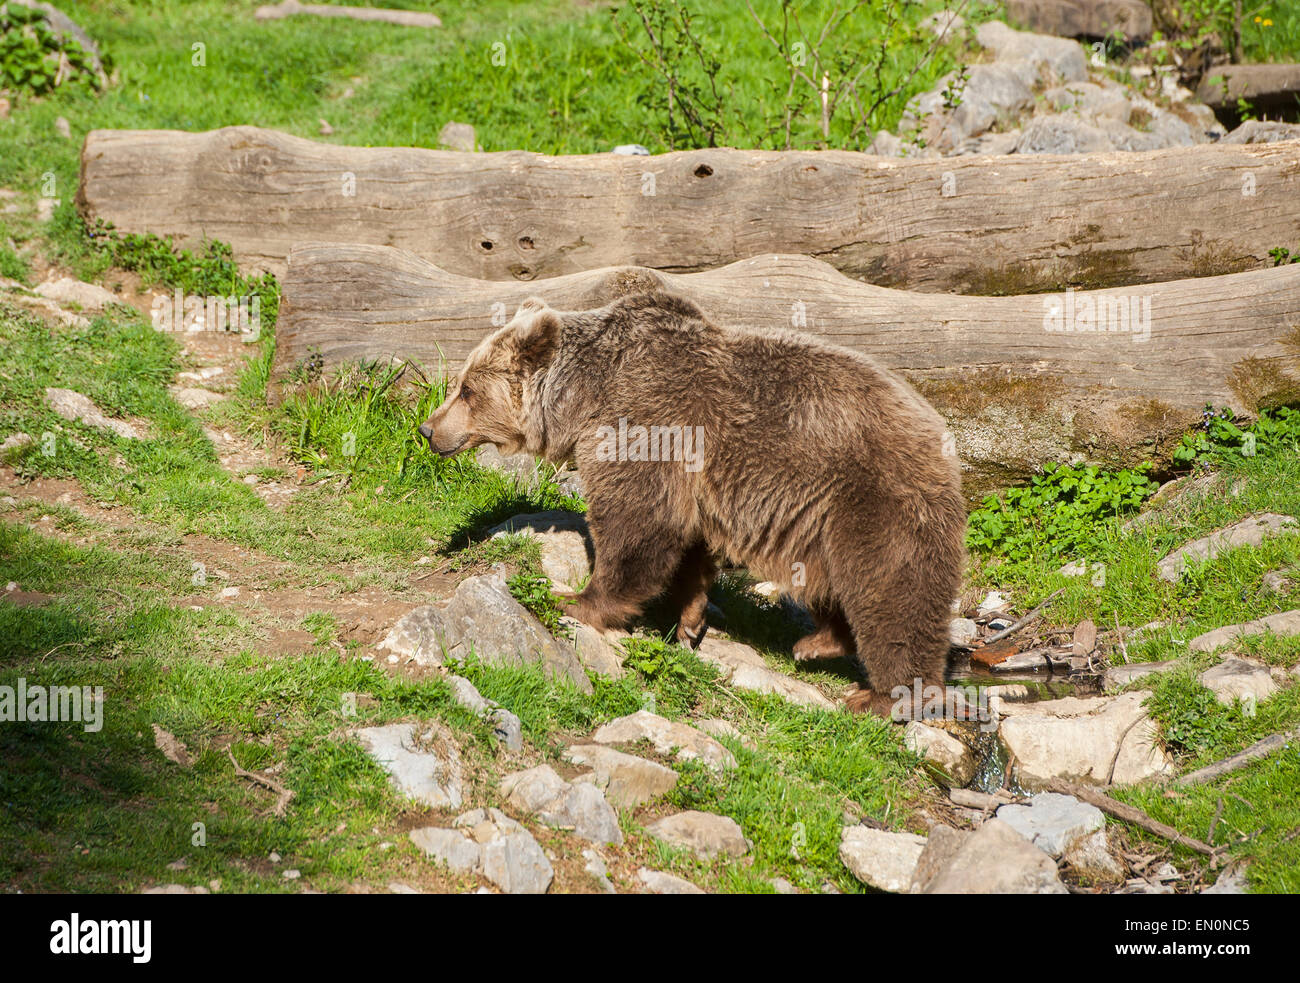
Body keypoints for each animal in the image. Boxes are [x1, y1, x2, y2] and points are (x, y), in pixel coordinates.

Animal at [418, 291, 967, 718]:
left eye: (466, 388)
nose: (427, 428)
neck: (583, 398)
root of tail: (943, 439)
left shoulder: (644, 425)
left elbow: (636, 522)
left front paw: (577, 599)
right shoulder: (690, 477)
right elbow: (686, 545)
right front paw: (688, 619)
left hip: (873, 501)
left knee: (893, 593)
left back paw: (882, 695)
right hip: (818, 523)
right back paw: (817, 643)